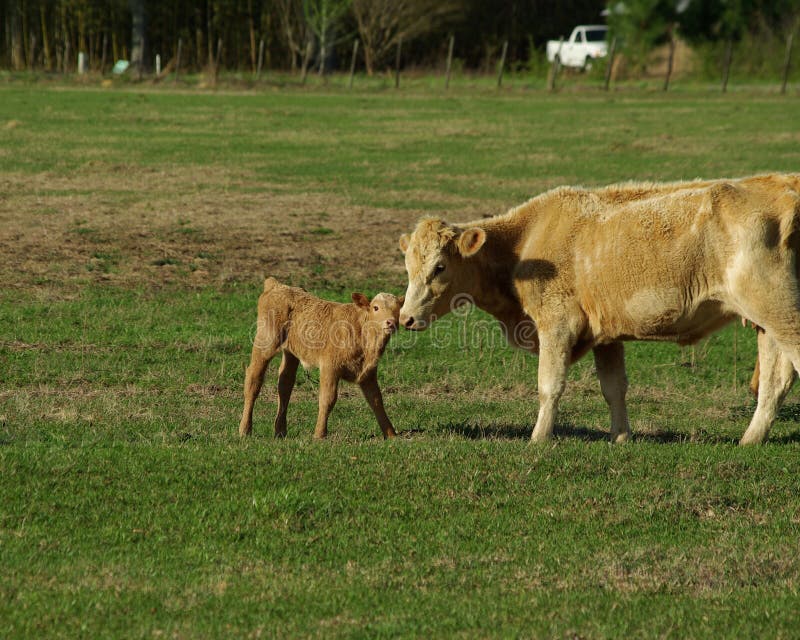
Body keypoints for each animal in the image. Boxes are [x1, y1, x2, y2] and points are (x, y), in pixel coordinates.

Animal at [397, 174, 800, 444]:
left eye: (440, 267)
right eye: (408, 267)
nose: (406, 318)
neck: (524, 245)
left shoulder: (556, 324)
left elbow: (549, 385)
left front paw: (538, 438)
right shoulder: (606, 334)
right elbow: (613, 387)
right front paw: (620, 437)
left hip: (782, 314)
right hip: (768, 325)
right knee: (774, 382)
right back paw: (749, 440)